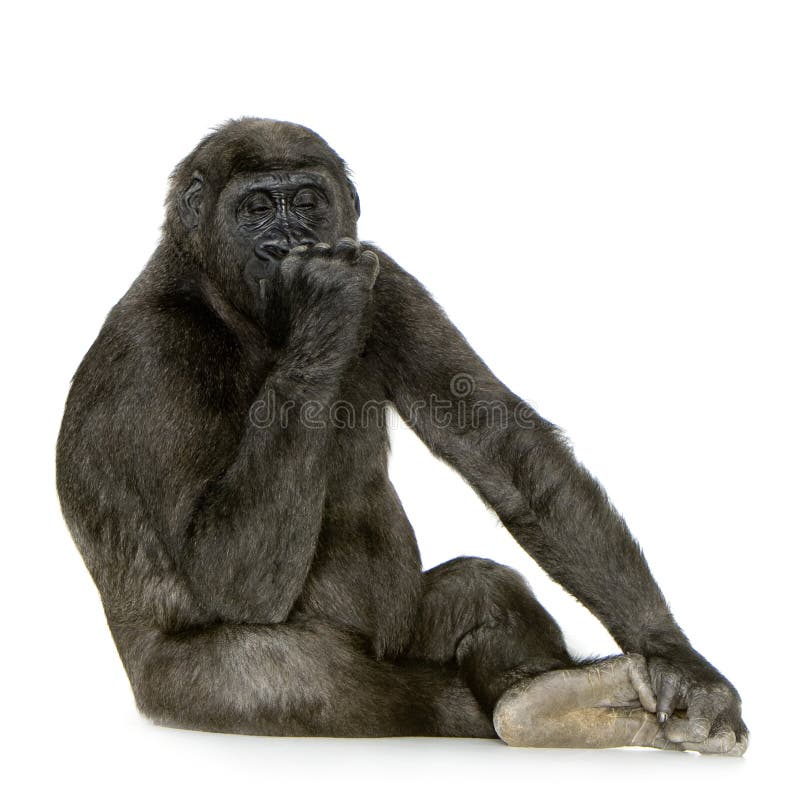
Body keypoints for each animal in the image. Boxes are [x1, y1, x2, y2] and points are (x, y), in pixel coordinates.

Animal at [56, 117, 747, 754]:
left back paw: (548, 702)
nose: (290, 244)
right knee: (282, 674)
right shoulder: (152, 353)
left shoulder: (386, 277)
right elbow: (223, 578)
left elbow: (502, 448)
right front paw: (321, 296)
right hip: (174, 693)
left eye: (307, 200)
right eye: (254, 209)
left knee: (481, 590)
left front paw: (676, 657)